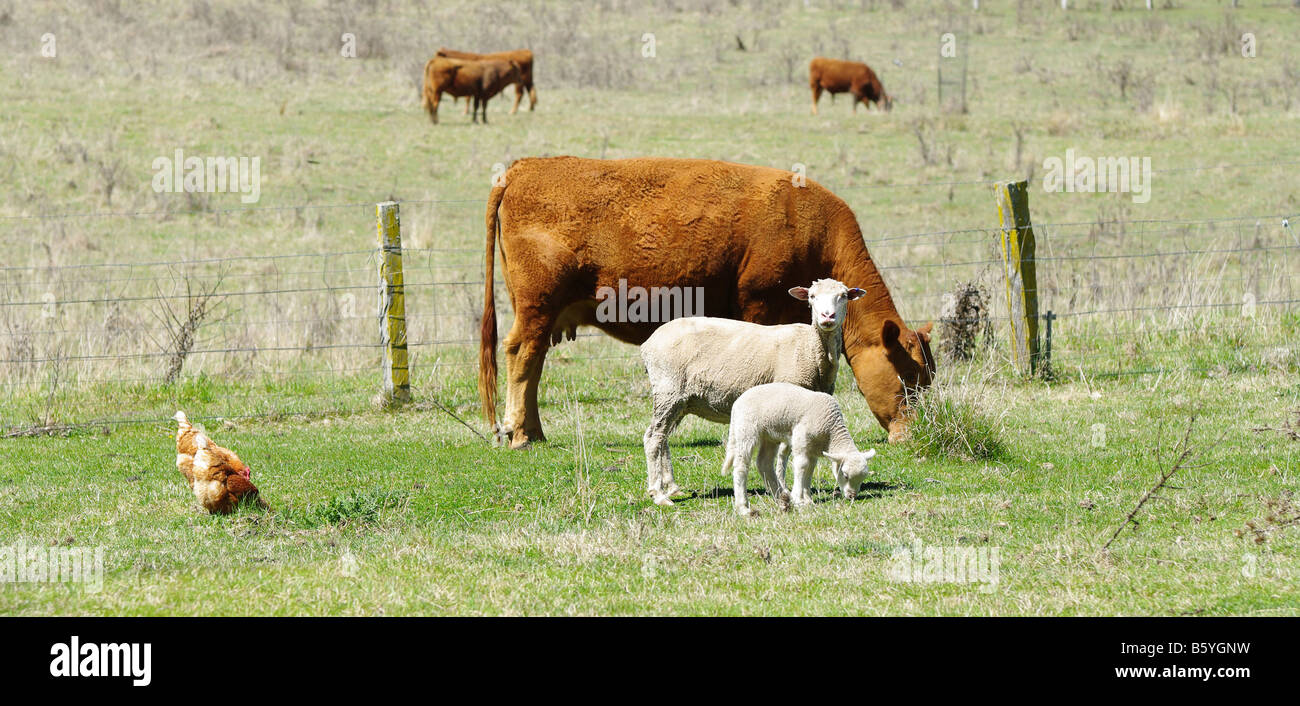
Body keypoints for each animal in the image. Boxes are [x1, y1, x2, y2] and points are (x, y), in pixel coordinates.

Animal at [478, 157, 934, 450]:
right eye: (908, 379)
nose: (915, 434)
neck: (809, 226)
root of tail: (524, 167)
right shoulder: (760, 306)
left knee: (533, 362)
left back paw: (535, 432)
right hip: (537, 306)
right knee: (522, 354)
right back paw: (520, 434)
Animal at [639, 278, 865, 506]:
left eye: (844, 296)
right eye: (812, 297)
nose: (827, 317)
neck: (810, 348)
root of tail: (648, 343)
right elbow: (784, 451)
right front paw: (786, 488)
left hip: (680, 399)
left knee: (663, 438)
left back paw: (672, 487)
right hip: (668, 390)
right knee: (653, 438)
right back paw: (658, 494)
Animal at [722, 382, 877, 516]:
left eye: (864, 477)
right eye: (845, 475)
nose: (852, 496)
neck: (830, 432)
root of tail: (736, 404)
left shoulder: (813, 449)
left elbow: (810, 470)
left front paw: (807, 499)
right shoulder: (801, 440)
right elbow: (801, 466)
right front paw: (798, 499)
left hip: (769, 435)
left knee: (764, 463)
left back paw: (781, 497)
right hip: (746, 429)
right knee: (741, 466)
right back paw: (743, 507)